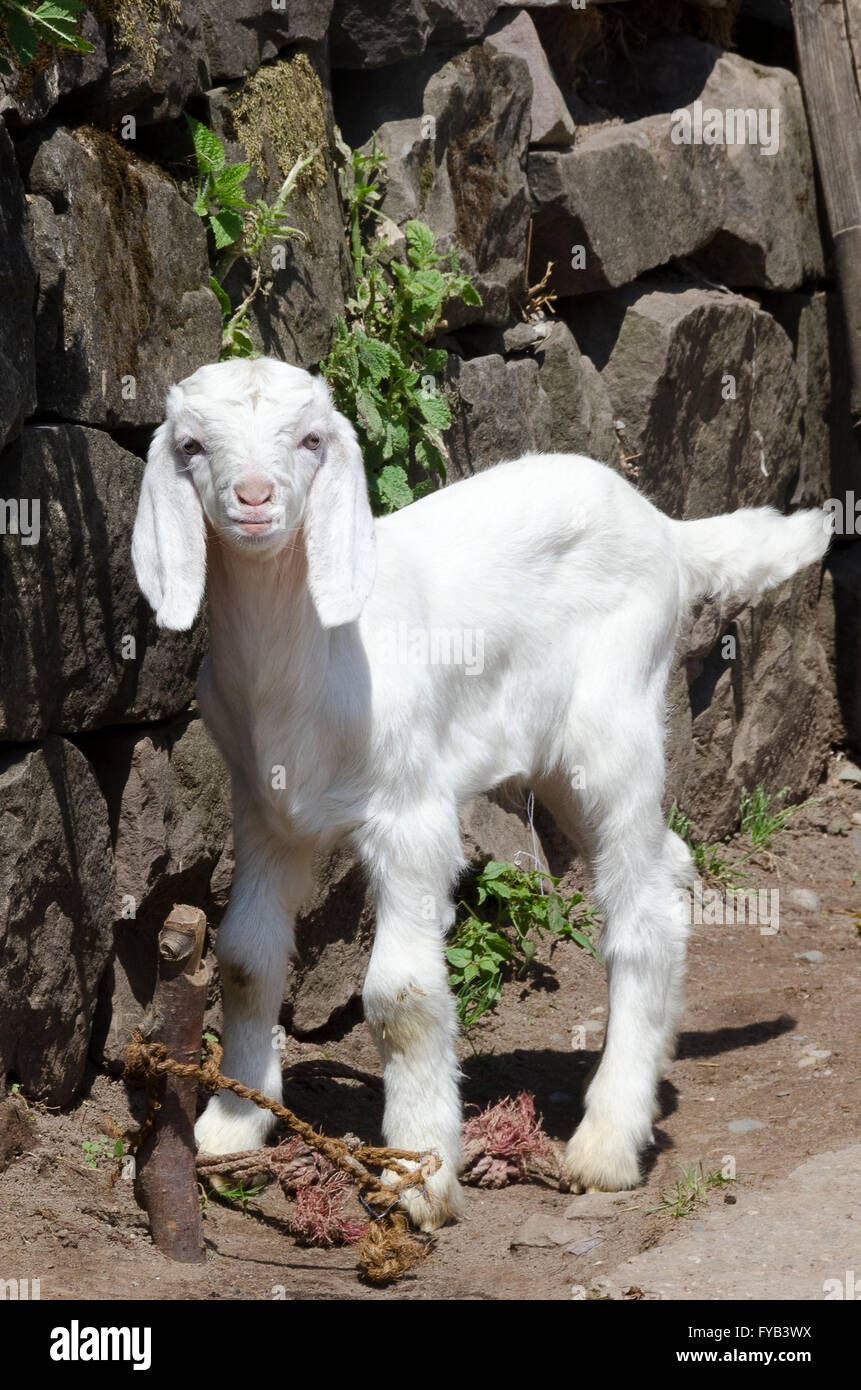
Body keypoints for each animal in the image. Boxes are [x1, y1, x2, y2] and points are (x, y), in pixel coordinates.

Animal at [132, 356, 829, 1230]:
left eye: (311, 440)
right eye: (192, 445)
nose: (253, 498)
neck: (308, 653)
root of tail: (664, 528)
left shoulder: (411, 813)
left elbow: (399, 995)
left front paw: (417, 1178)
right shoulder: (264, 813)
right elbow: (245, 960)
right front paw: (229, 1129)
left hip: (611, 729)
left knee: (641, 916)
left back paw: (607, 1140)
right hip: (559, 763)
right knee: (666, 866)